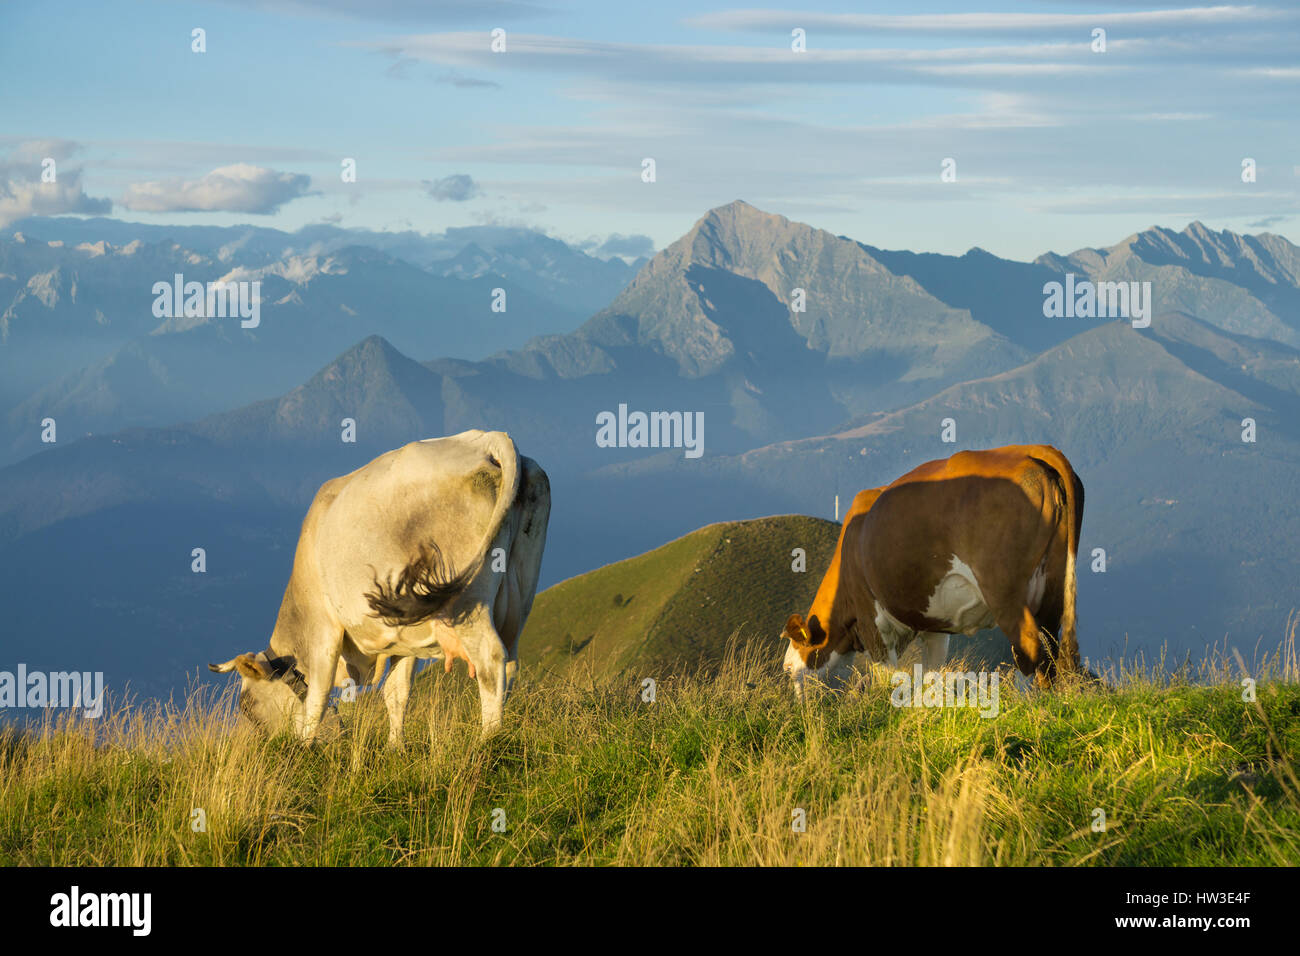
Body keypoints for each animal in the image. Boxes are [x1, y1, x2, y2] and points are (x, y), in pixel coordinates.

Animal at [209, 430, 550, 745]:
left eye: (248, 706)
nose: (264, 747)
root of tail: (486, 440)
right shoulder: (405, 639)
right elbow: (396, 692)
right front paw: (395, 748)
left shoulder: (323, 629)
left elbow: (316, 700)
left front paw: (304, 750)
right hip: (518, 594)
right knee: (511, 660)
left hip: (467, 599)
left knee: (490, 660)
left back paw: (486, 741)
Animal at [781, 445, 1083, 697]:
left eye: (789, 669)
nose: (800, 709)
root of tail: (1027, 450)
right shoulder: (934, 625)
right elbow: (932, 673)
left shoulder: (870, 621)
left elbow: (887, 675)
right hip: (1053, 584)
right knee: (1050, 648)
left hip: (1003, 589)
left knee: (1029, 646)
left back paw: (1024, 702)